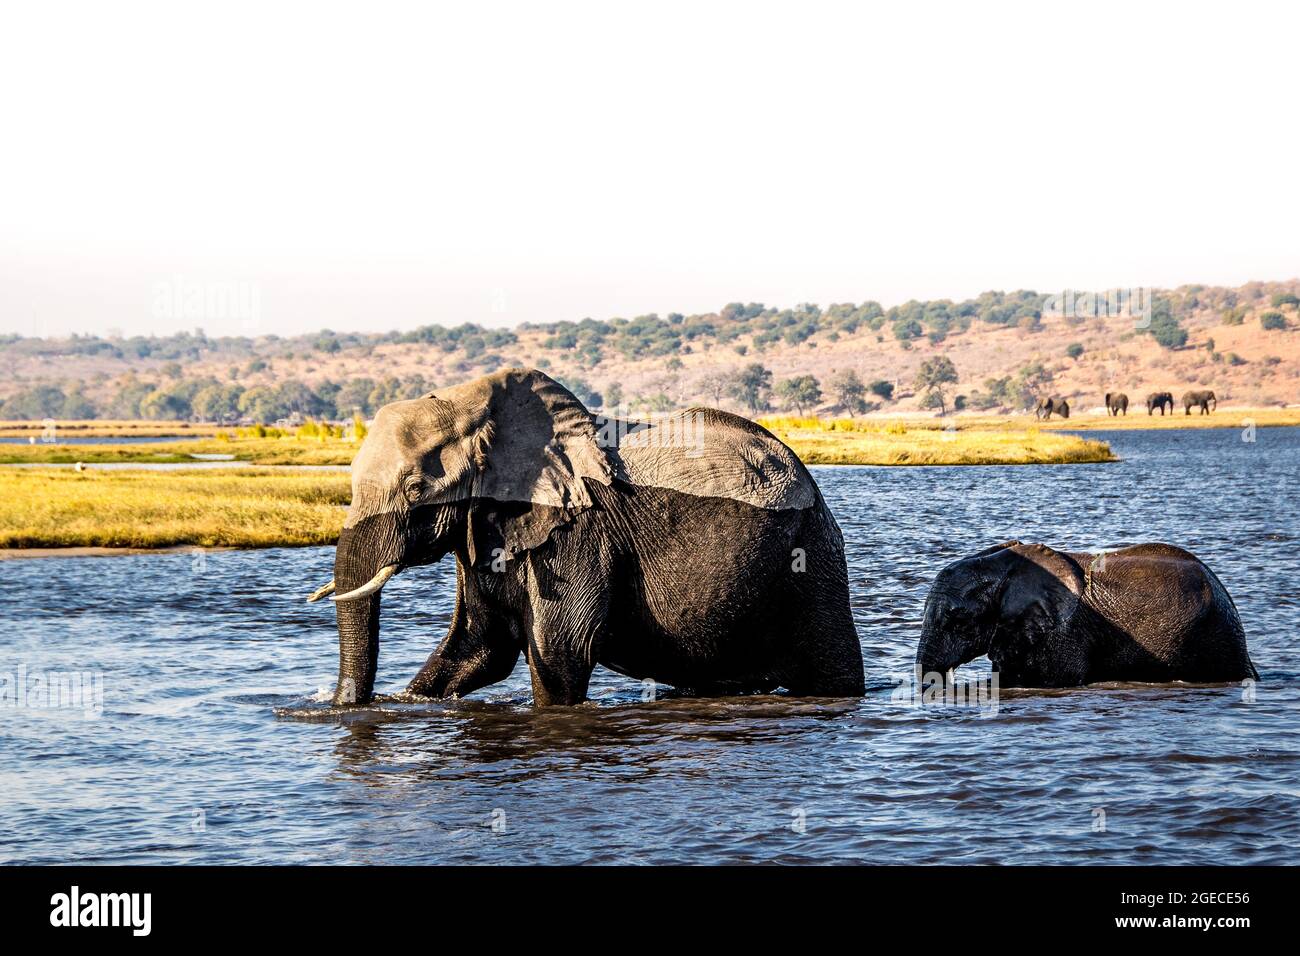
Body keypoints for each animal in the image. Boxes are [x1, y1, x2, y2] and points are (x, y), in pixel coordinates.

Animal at [306, 368, 865, 706]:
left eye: (415, 488)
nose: (332, 707)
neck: (478, 408)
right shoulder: (486, 528)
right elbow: (478, 650)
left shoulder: (577, 533)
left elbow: (561, 653)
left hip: (812, 558)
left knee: (833, 674)